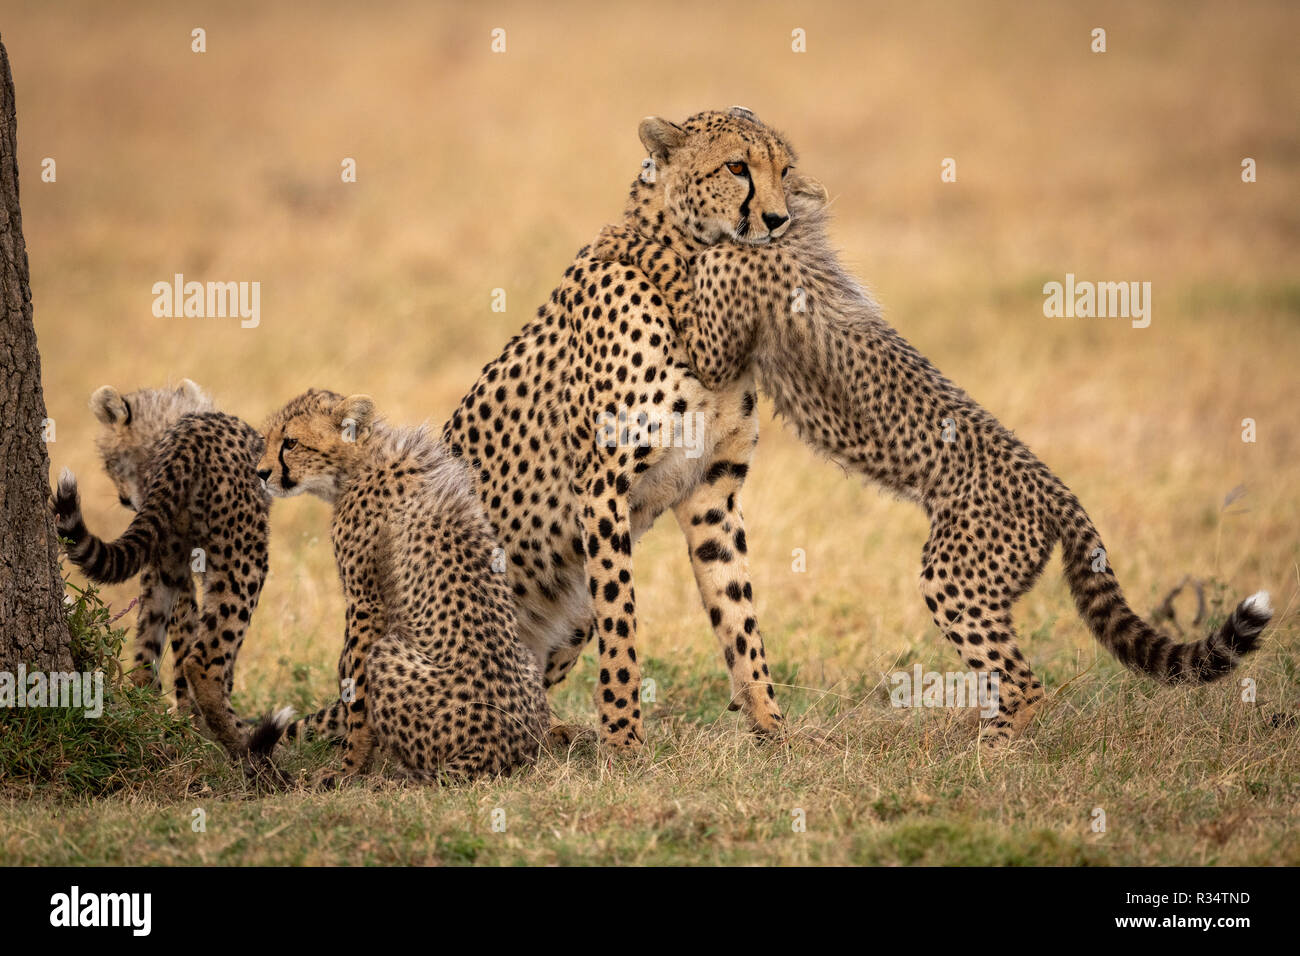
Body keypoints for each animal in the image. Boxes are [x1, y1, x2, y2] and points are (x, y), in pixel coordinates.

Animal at [50, 379, 270, 758]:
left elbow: (179, 636)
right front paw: (195, 723)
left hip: (171, 563)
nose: (126, 500)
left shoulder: (166, 558)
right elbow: (200, 647)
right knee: (203, 660)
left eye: (109, 461)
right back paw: (248, 746)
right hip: (245, 557)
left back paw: (151, 713)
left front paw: (186, 723)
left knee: (145, 657)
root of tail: (187, 440)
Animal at [250, 389, 550, 783]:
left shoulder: (366, 604)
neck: (362, 461)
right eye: (266, 439)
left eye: (291, 442)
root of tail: (500, 748)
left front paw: (349, 768)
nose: (261, 474)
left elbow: (355, 694)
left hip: (388, 655)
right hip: (528, 663)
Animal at [590, 157, 1273, 746]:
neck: (789, 232)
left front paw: (630, 241)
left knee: (1024, 682)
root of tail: (1060, 492)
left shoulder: (717, 335)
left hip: (954, 575)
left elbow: (675, 274)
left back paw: (987, 750)